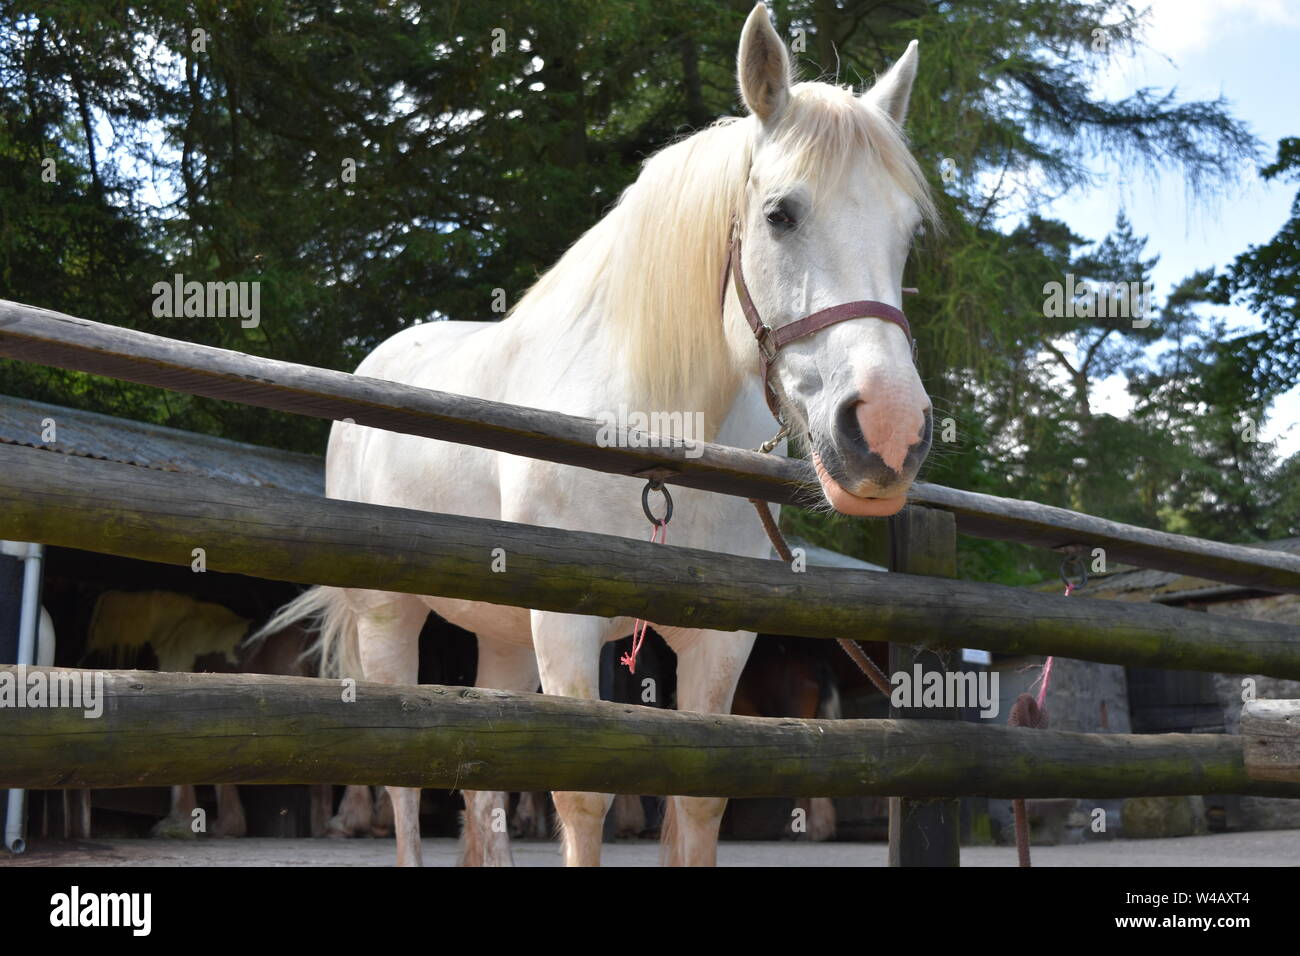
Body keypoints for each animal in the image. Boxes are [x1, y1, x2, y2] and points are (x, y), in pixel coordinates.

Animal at [259, 2, 936, 866]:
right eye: (780, 214)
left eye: (907, 234)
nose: (888, 434)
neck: (654, 431)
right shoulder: (568, 630)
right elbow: (582, 800)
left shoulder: (720, 642)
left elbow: (699, 804)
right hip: (389, 620)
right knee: (405, 788)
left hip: (505, 637)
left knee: (484, 788)